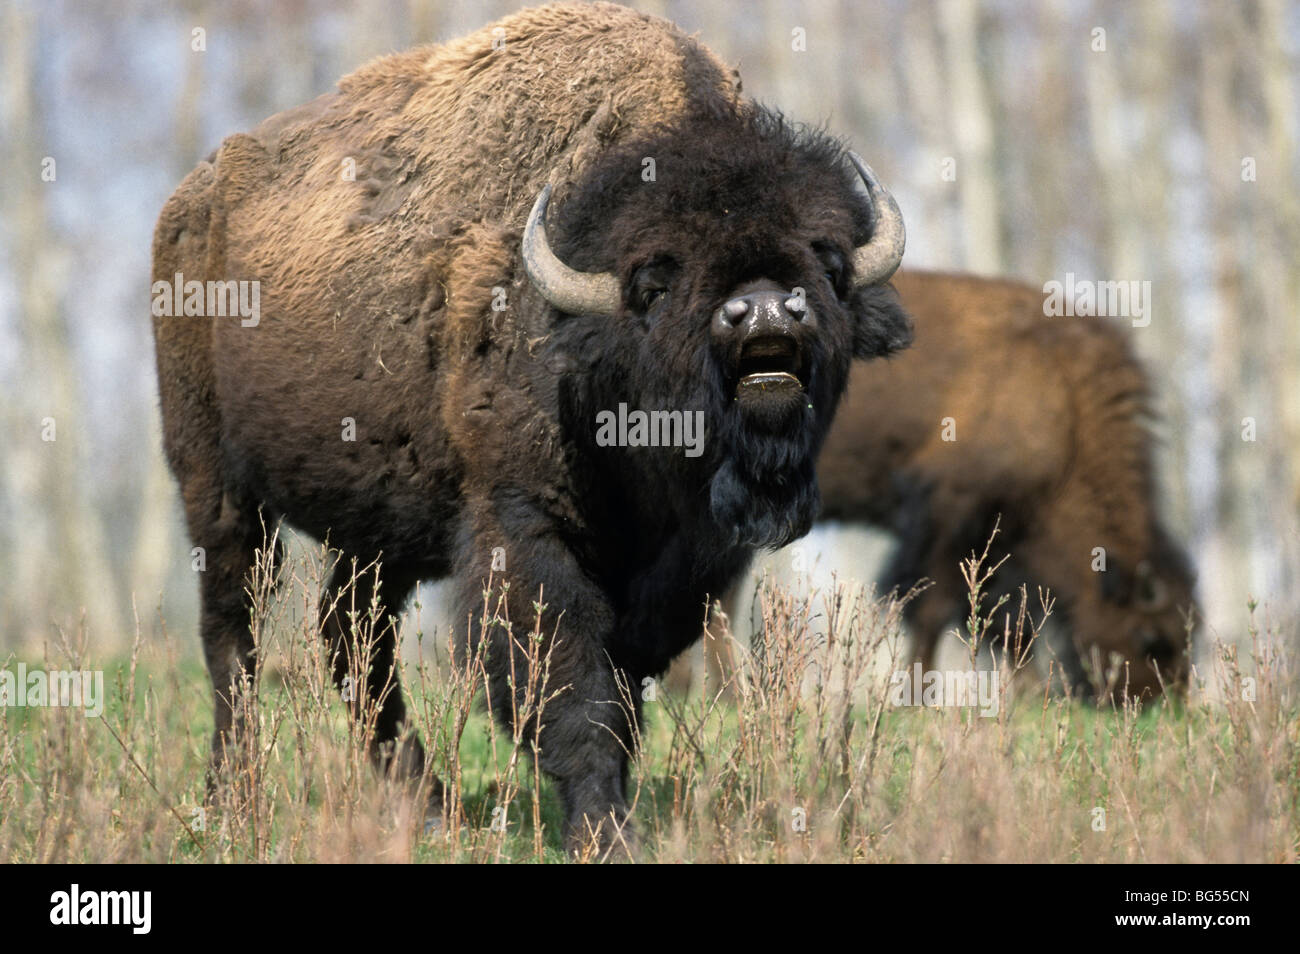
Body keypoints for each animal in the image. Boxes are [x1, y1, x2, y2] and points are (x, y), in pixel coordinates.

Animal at [150, 2, 910, 855]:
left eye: (831, 267)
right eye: (655, 281)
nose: (770, 310)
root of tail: (187, 207)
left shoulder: (683, 563)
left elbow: (627, 685)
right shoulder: (523, 528)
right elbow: (573, 687)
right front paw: (605, 833)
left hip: (372, 533)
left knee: (350, 638)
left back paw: (430, 806)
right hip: (215, 487)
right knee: (233, 635)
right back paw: (235, 803)